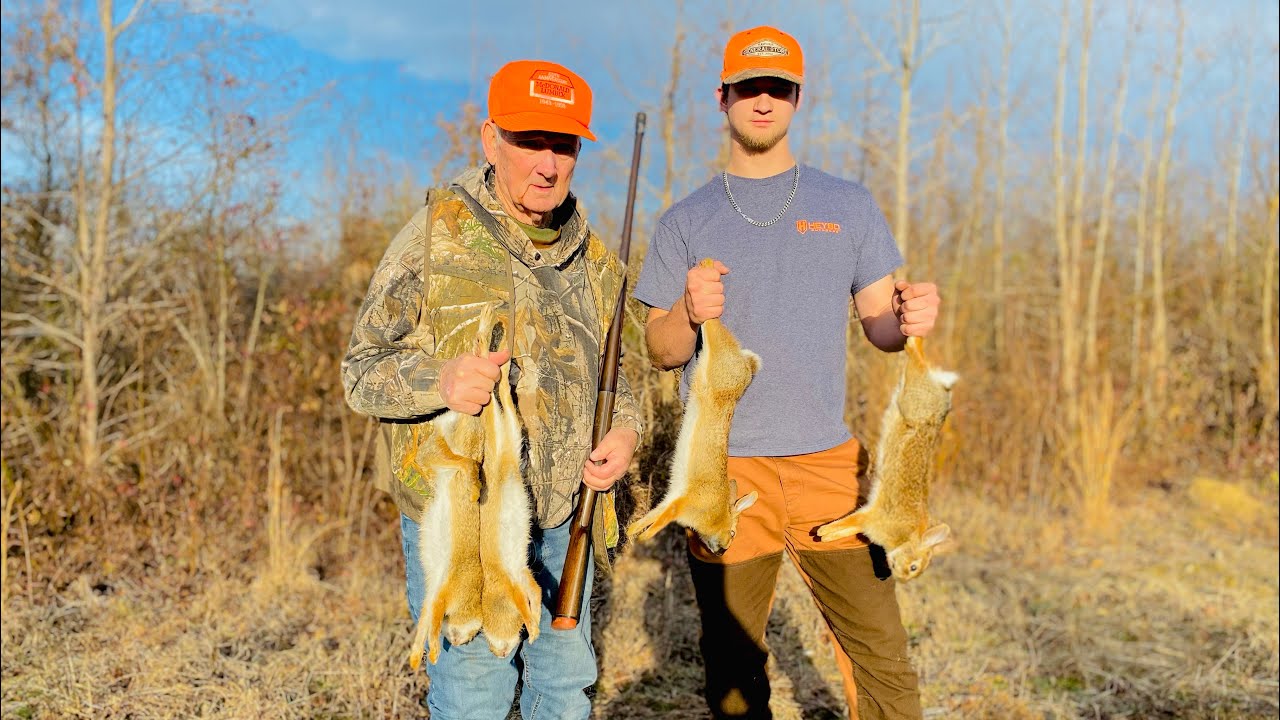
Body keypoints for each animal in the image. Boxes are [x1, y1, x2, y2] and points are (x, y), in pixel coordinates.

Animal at [628, 258, 761, 554]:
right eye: (733, 532)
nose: (723, 550)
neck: (717, 512)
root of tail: (745, 367)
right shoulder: (683, 504)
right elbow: (660, 523)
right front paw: (642, 538)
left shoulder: (672, 498)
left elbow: (652, 516)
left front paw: (631, 532)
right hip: (716, 353)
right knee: (711, 321)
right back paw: (707, 267)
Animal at [816, 335, 957, 582]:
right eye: (914, 567)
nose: (899, 578)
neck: (906, 538)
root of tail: (942, 388)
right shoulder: (872, 517)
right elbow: (849, 522)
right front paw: (823, 532)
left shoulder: (867, 522)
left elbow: (849, 528)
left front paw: (825, 537)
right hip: (913, 396)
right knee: (917, 362)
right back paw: (913, 341)